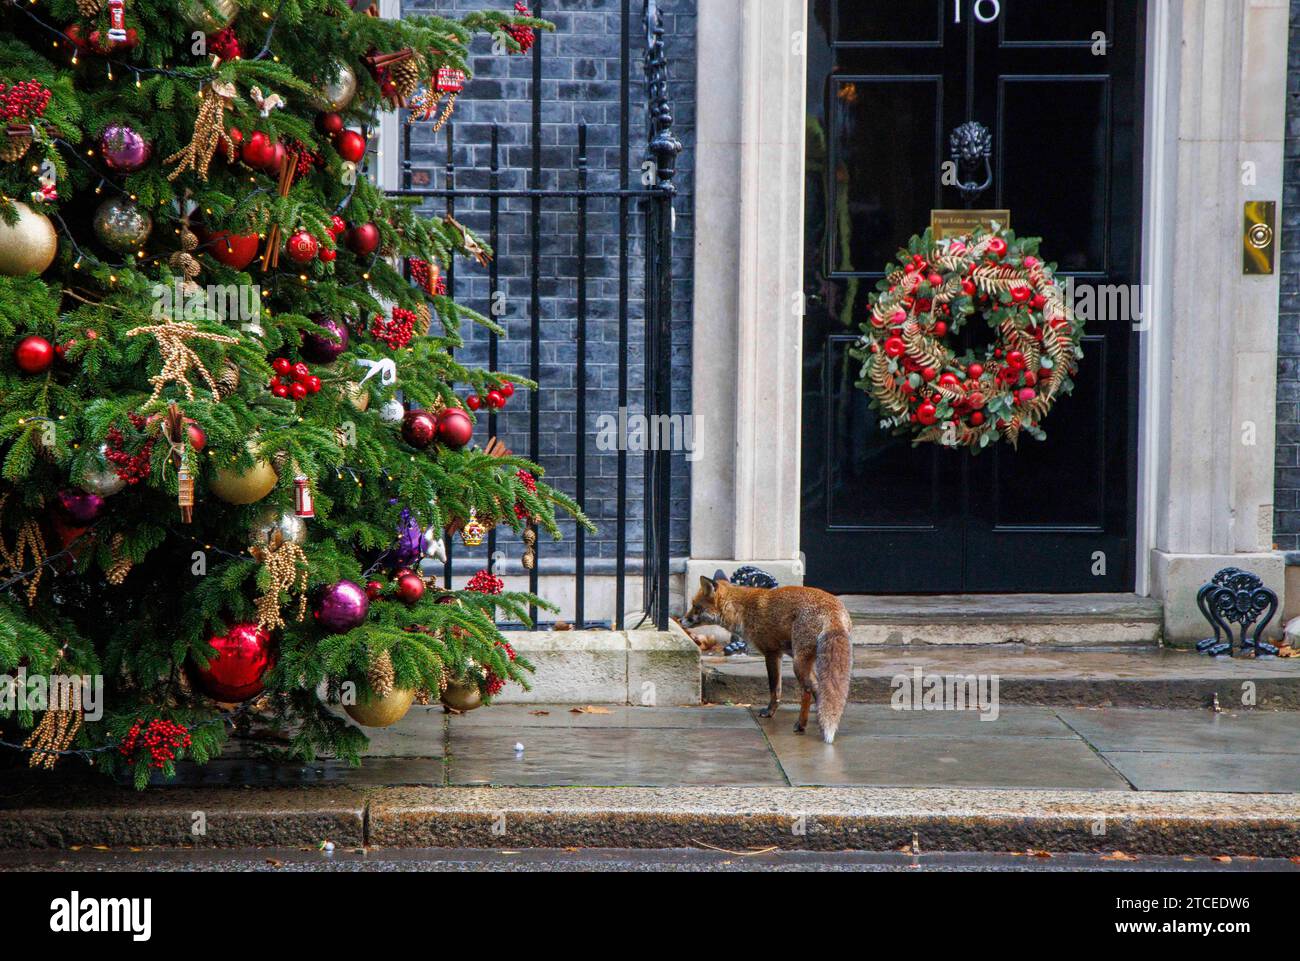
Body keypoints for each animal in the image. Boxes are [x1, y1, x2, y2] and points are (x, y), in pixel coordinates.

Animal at [682, 572, 852, 743]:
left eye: (695, 606)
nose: (681, 621)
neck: (742, 610)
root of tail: (834, 608)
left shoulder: (771, 652)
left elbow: (774, 689)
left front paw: (770, 712)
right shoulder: (783, 655)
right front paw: (821, 717)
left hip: (798, 663)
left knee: (807, 689)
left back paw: (801, 725)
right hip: (808, 660)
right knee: (818, 687)